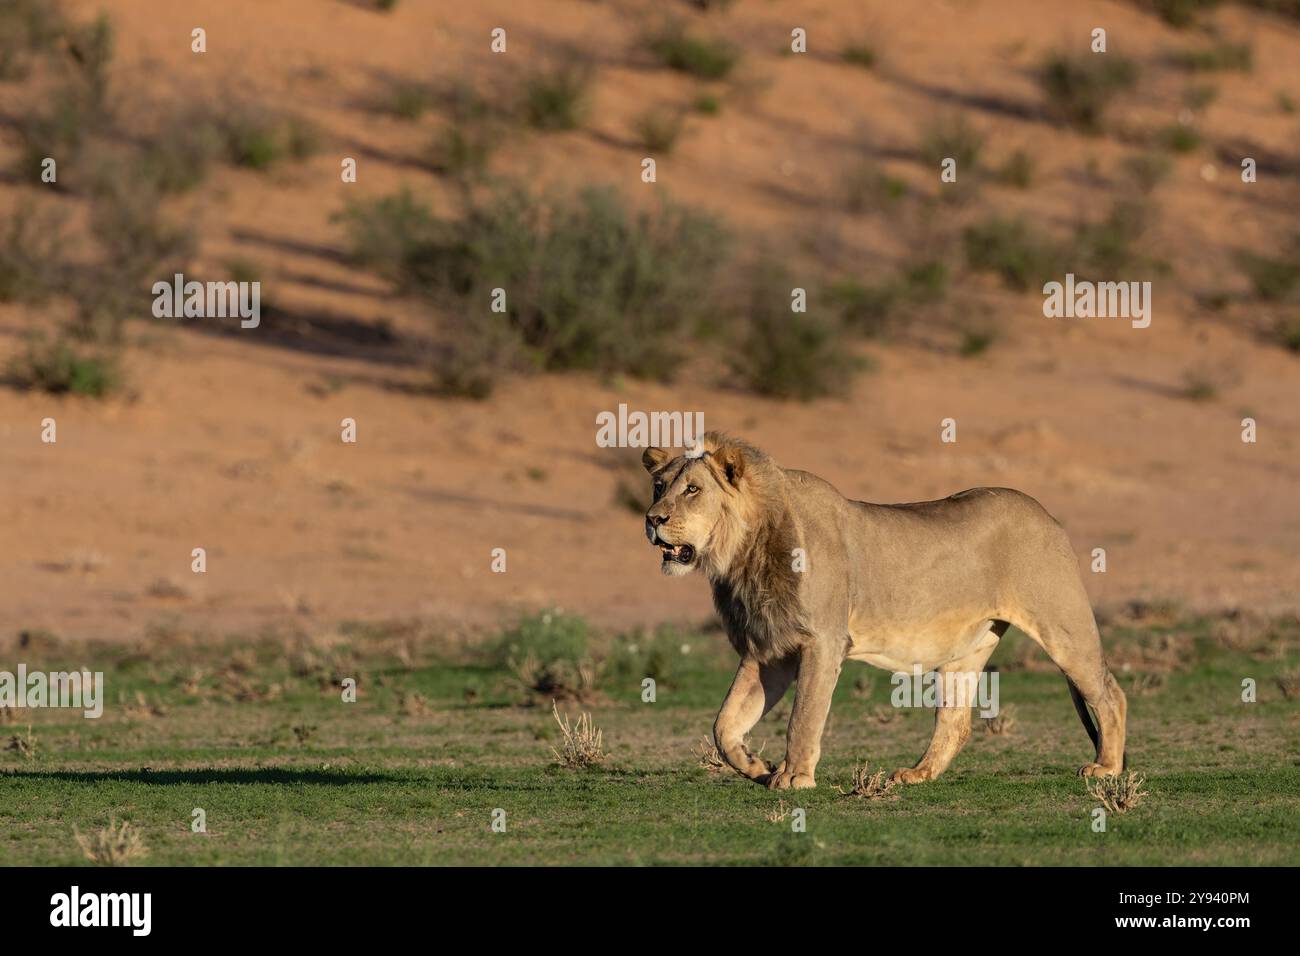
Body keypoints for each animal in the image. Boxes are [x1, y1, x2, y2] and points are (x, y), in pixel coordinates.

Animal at [642, 432, 1127, 790]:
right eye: (659, 487)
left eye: (693, 489)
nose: (652, 519)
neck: (742, 554)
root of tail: (1047, 515)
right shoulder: (767, 649)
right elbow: (724, 724)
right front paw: (757, 767)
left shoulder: (823, 640)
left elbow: (804, 716)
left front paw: (794, 777)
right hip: (966, 649)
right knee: (955, 721)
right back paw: (918, 774)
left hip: (1063, 626)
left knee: (1109, 692)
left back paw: (1106, 767)